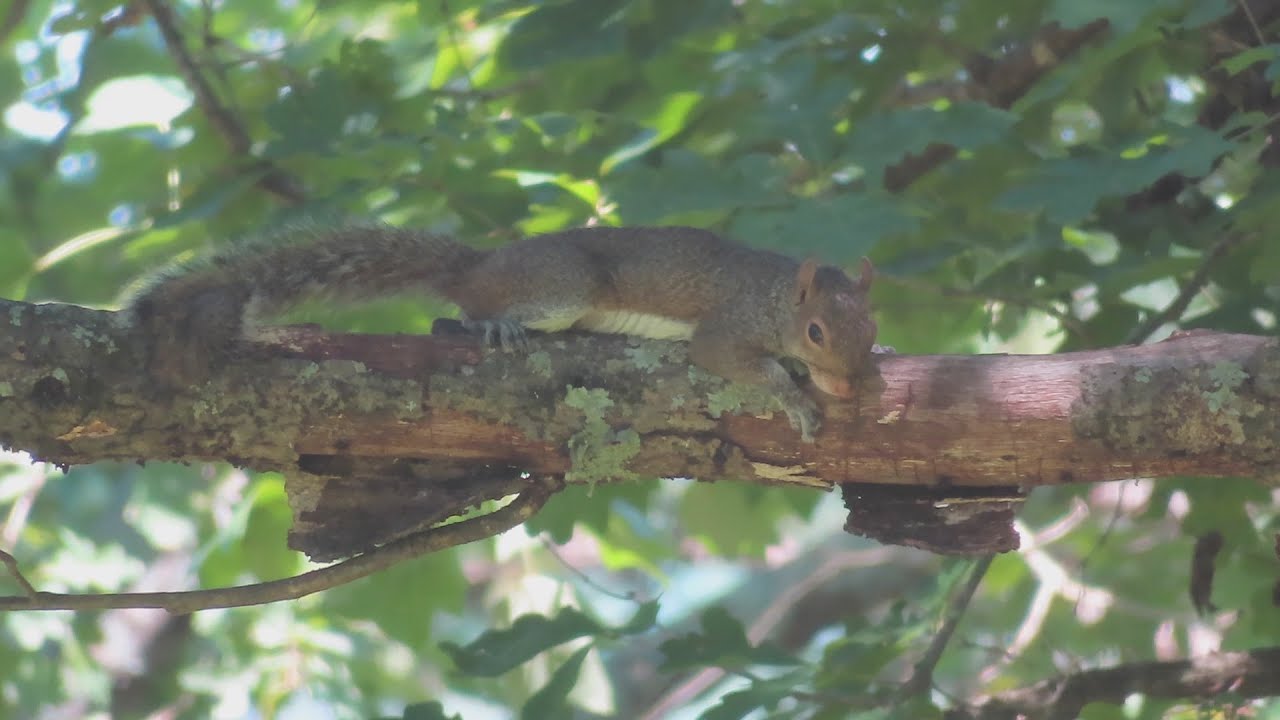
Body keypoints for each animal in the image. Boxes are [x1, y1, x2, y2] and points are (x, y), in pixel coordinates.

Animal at [127, 224, 879, 441]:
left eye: (873, 329)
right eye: (816, 331)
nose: (848, 387)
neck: (777, 297)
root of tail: (479, 261)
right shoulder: (727, 328)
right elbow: (737, 360)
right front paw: (794, 396)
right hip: (562, 289)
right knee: (458, 311)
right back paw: (488, 320)